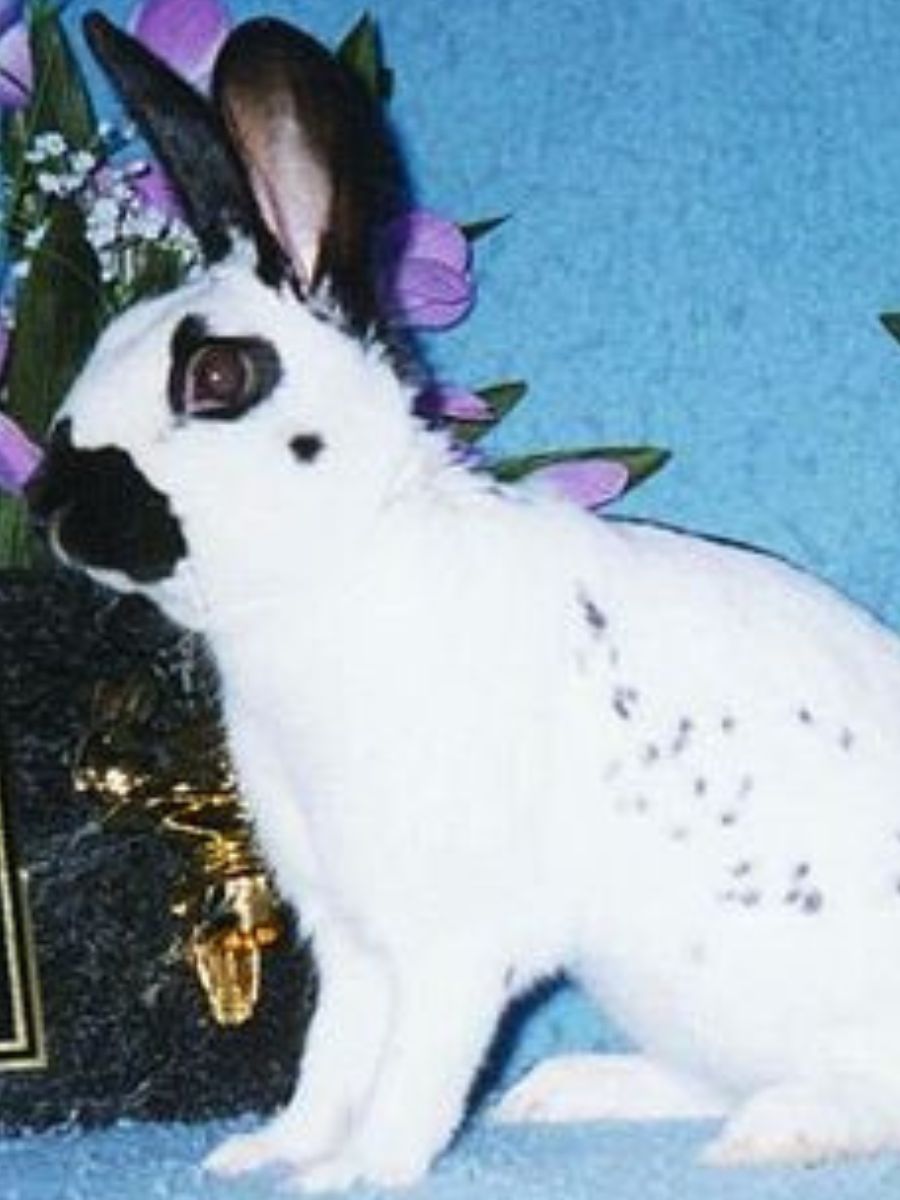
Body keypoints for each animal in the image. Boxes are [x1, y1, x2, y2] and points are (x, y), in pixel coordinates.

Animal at [25, 9, 900, 1192]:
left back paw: (780, 1130)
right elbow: (330, 1061)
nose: (43, 499)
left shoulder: (449, 944)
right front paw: (266, 1153)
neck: (340, 566)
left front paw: (356, 1172)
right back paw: (566, 1091)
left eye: (215, 379)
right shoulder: (348, 941)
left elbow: (413, 1071)